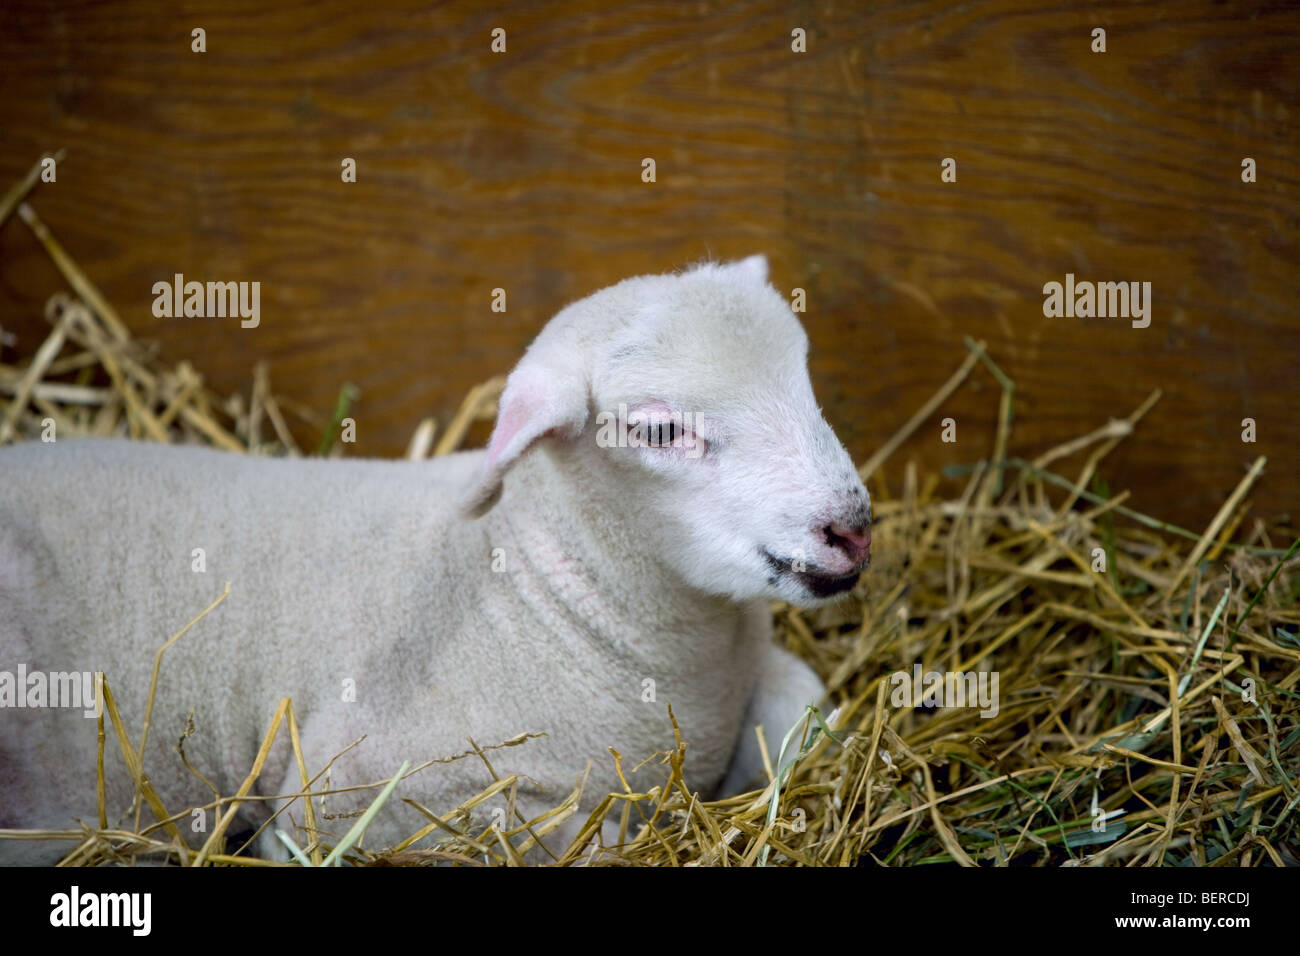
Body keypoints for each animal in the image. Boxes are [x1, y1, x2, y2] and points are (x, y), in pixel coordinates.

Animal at [2, 256, 873, 868]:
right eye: (659, 431)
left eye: (803, 377)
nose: (853, 529)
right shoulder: (359, 791)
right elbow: (598, 836)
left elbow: (806, 708)